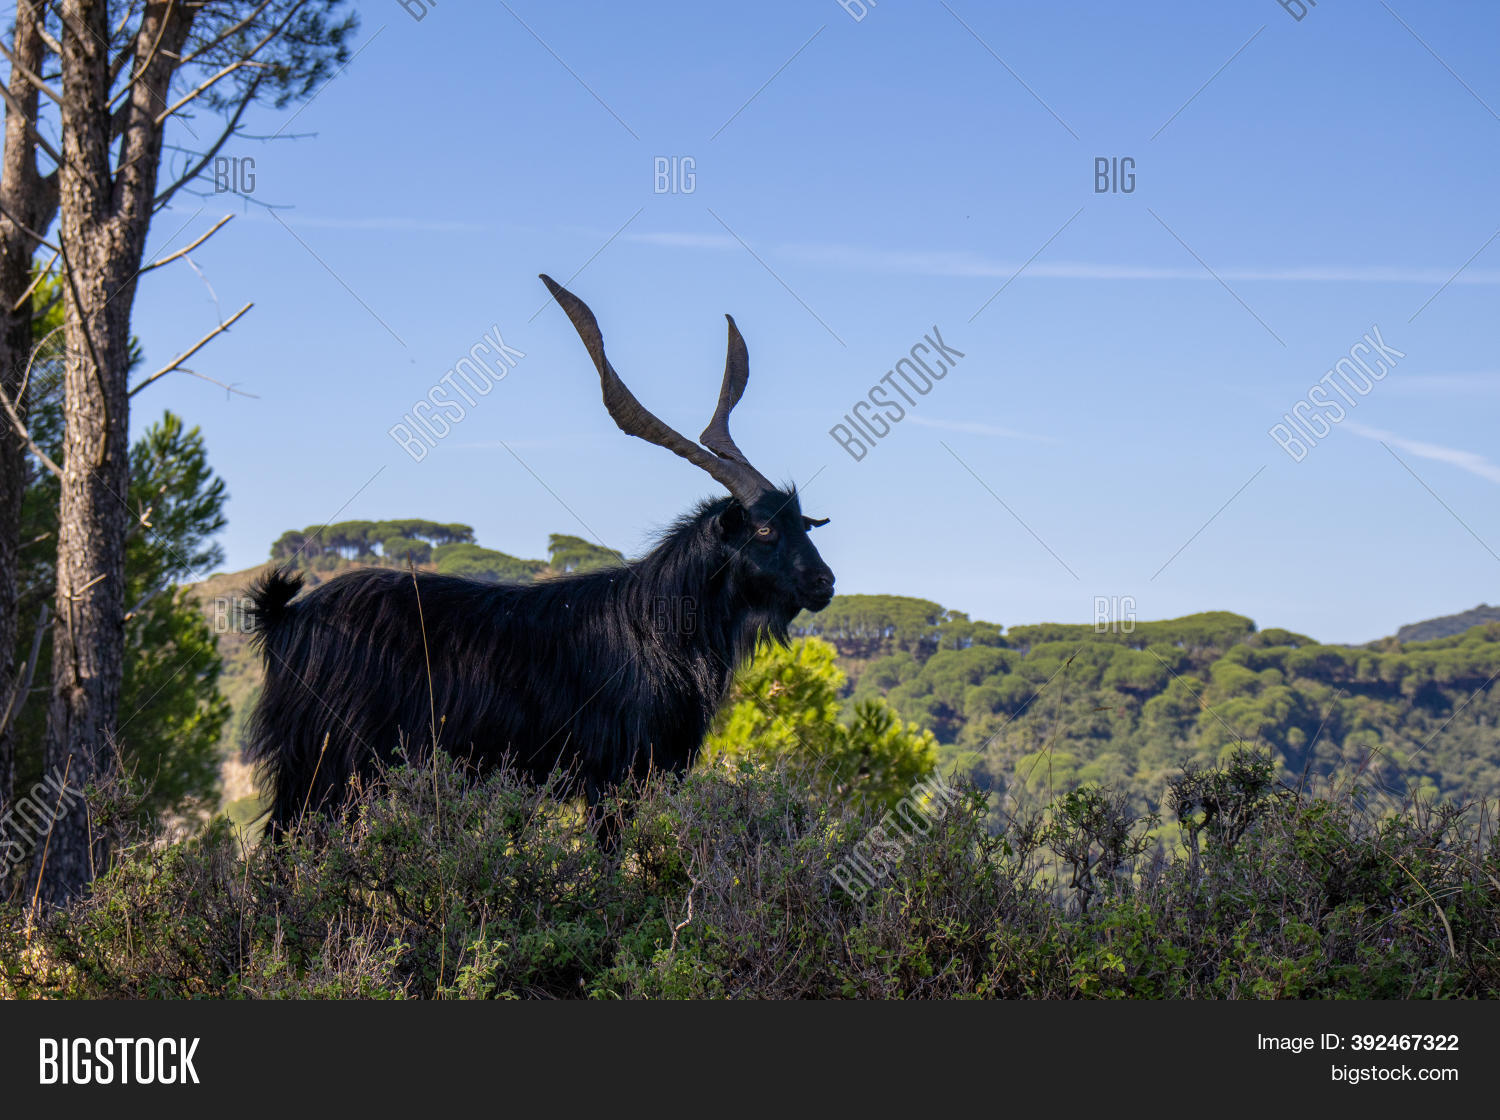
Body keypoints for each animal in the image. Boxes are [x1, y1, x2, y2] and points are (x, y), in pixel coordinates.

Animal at [246, 276, 835, 835]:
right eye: (764, 530)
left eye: (801, 522)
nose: (824, 583)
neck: (658, 626)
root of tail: (288, 615)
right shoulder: (610, 777)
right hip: (325, 765)